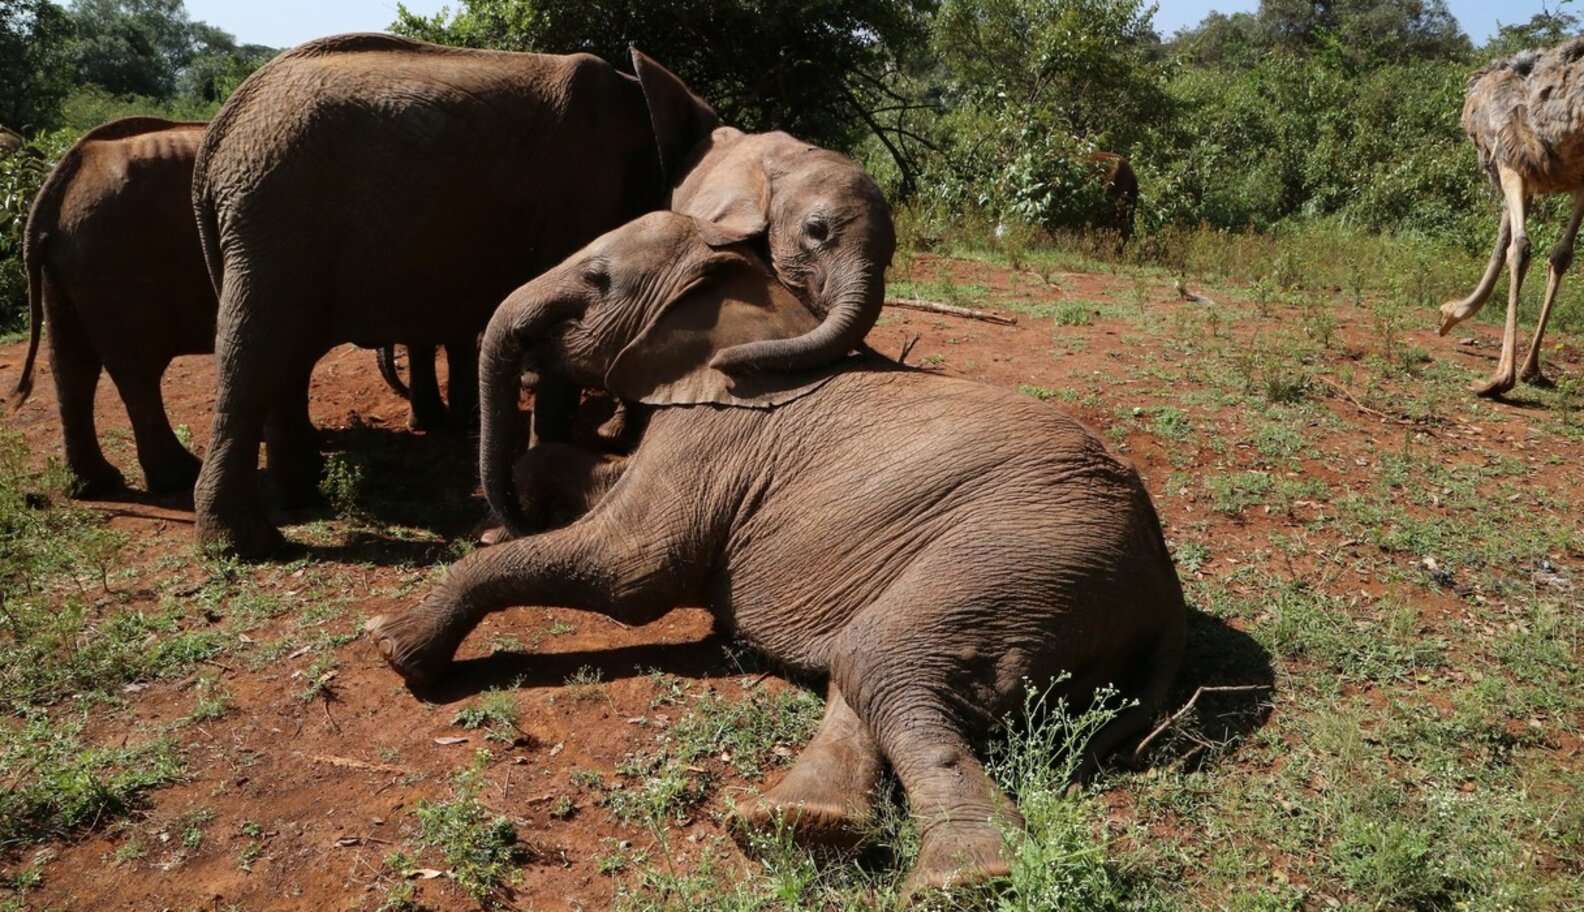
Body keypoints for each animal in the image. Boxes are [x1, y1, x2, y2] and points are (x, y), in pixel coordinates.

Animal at [4, 116, 467, 497]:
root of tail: (54, 188)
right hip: (113, 265)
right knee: (135, 370)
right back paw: (177, 476)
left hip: (70, 267)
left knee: (72, 365)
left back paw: (96, 485)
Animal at [189, 33, 720, 556]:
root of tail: (214, 145)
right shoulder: (585, 198)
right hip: (276, 221)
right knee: (256, 360)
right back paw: (245, 544)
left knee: (283, 360)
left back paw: (300, 497)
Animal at [365, 211, 1187, 895]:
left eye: (596, 282)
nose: (503, 518)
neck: (748, 291)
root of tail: (1167, 588)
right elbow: (600, 487)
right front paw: (517, 515)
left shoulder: (718, 433)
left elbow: (630, 571)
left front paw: (396, 647)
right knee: (868, 660)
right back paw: (799, 827)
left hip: (1034, 550)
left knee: (882, 660)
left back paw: (964, 877)